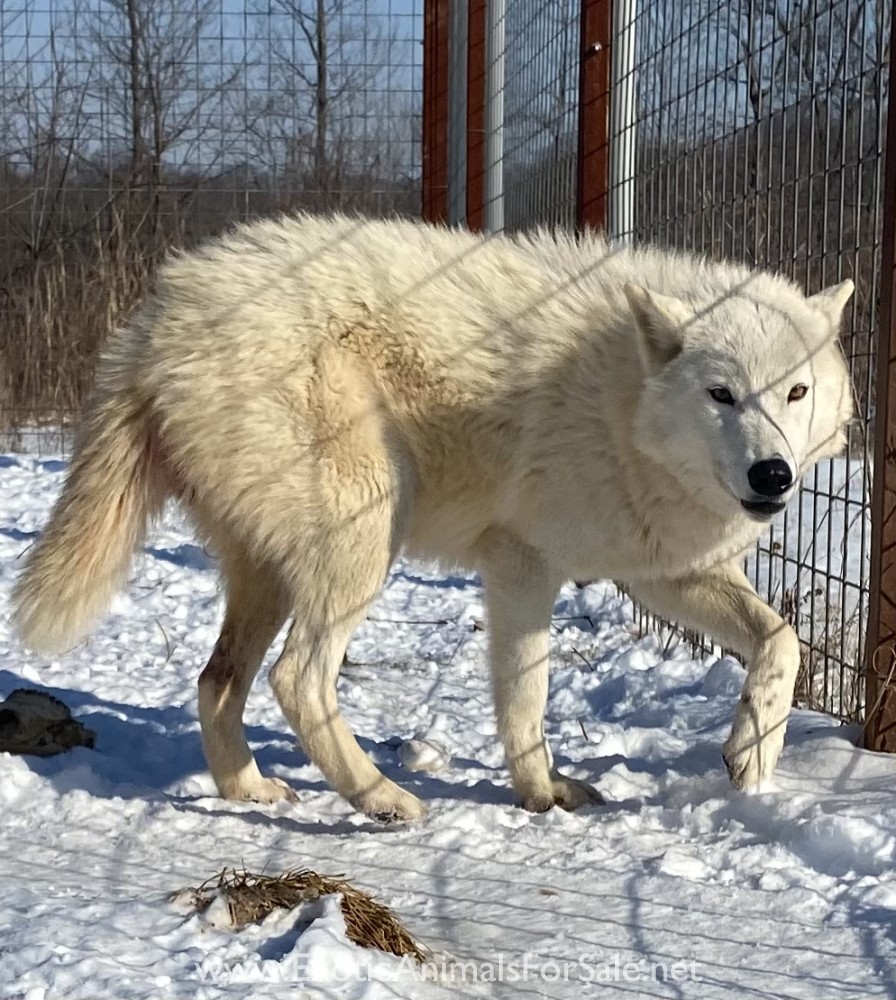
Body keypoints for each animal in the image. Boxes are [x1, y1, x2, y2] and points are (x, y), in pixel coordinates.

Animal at [11, 214, 854, 820]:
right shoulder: (523, 565)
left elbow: (783, 640)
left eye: (796, 392)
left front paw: (753, 753)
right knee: (297, 678)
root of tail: (154, 318)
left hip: (273, 575)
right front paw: (542, 796)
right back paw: (382, 799)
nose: (772, 475)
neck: (621, 403)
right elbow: (526, 701)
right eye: (722, 395)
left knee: (217, 681)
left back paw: (249, 790)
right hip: (366, 537)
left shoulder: (664, 576)